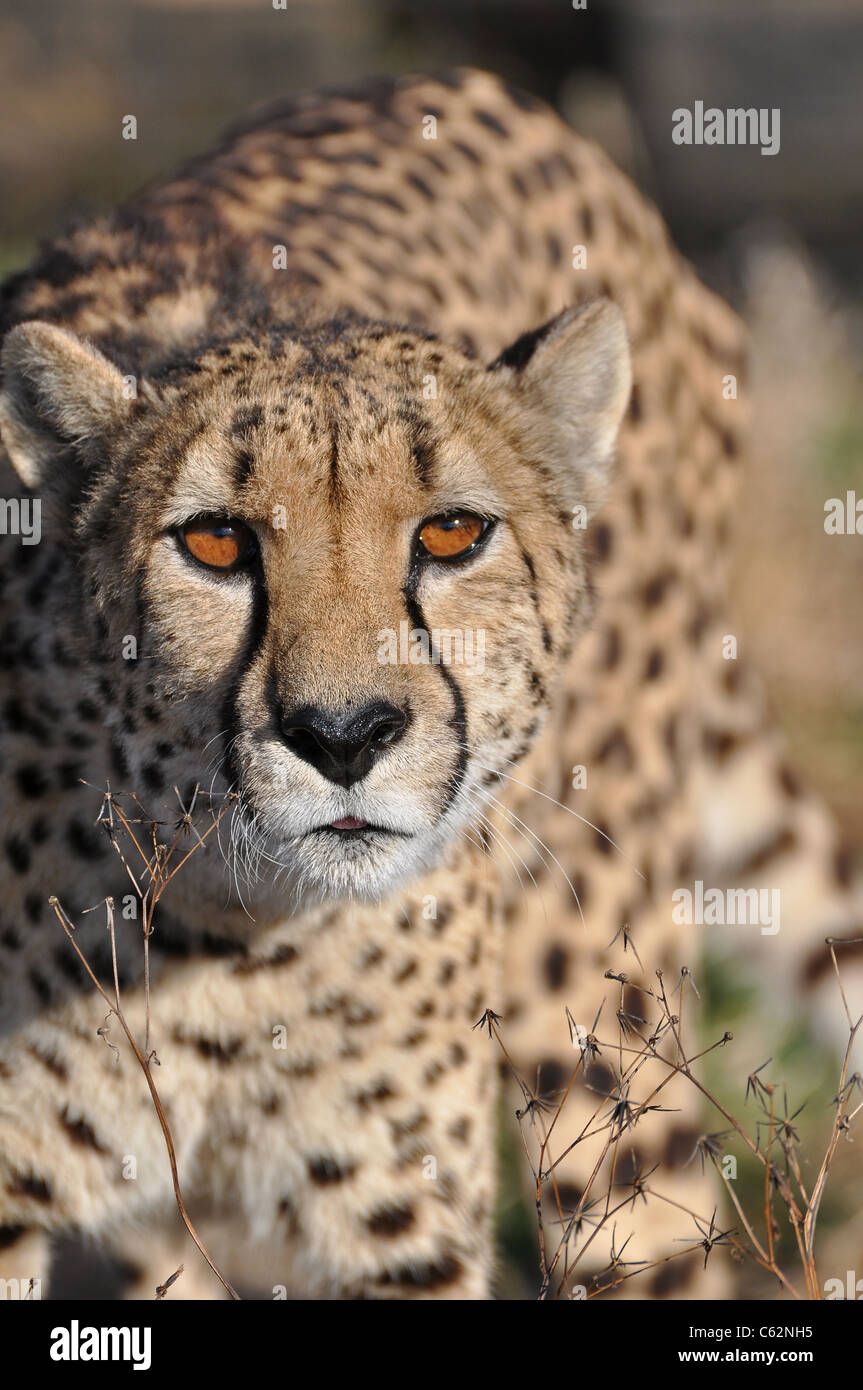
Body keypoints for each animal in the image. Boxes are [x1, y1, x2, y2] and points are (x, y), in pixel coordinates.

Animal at [0, 68, 860, 1301]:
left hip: (599, 1027)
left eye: (451, 534)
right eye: (212, 543)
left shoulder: (388, 1223)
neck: (233, 940)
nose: (344, 734)